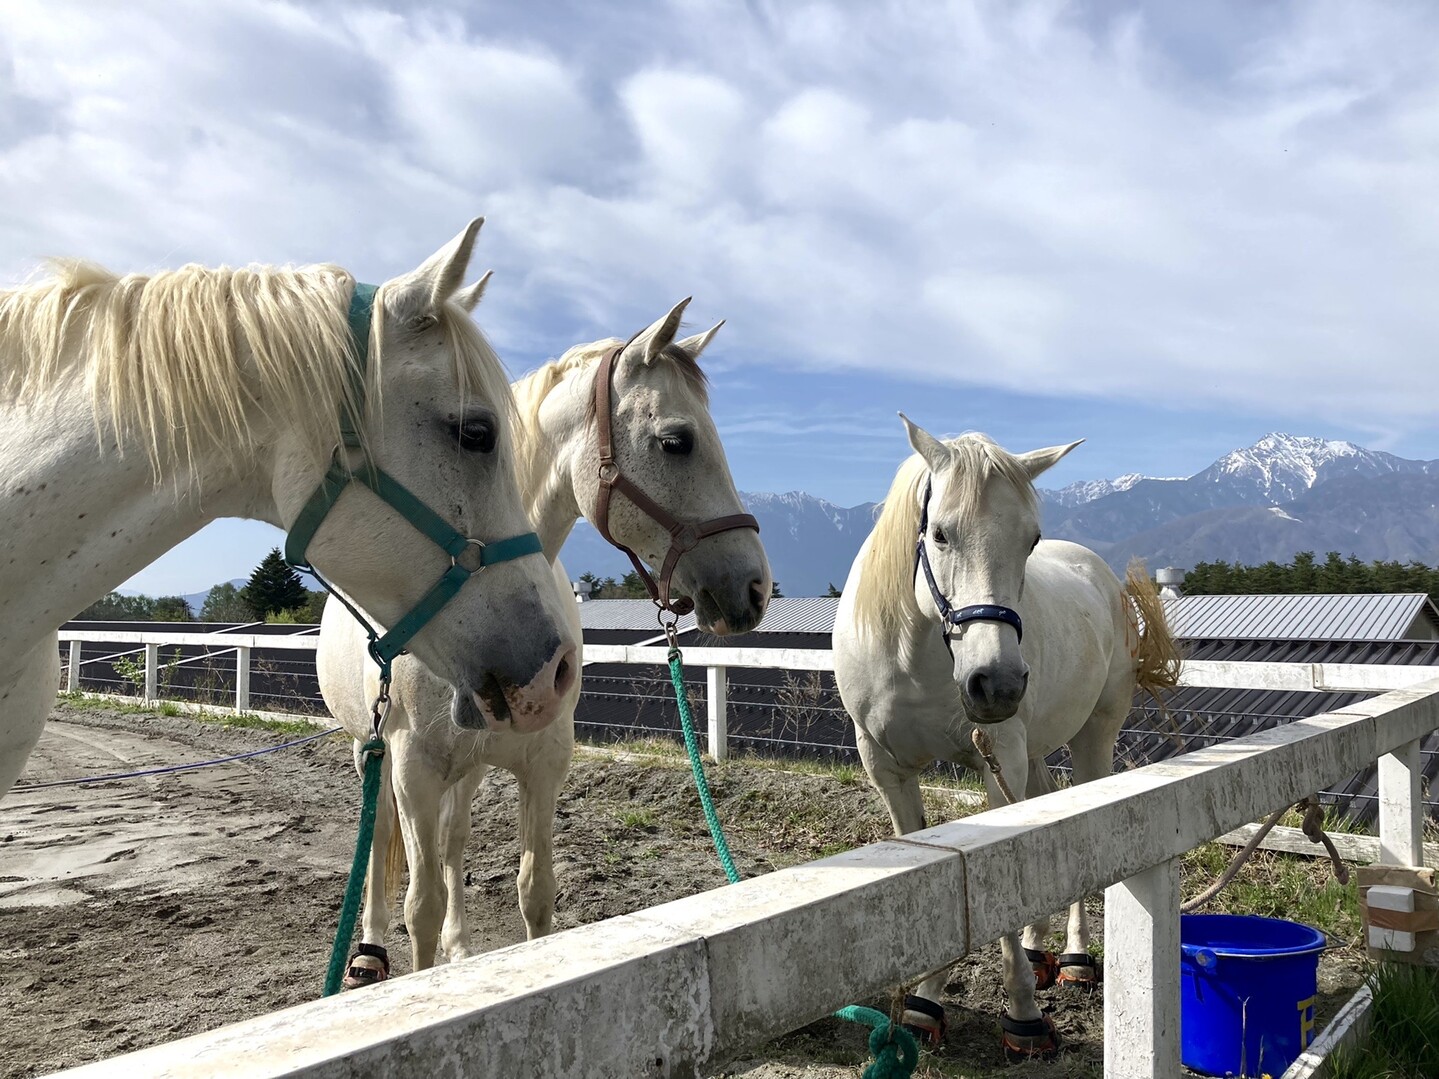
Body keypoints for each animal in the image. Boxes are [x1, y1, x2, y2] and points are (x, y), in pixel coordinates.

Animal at [316, 295, 771, 985]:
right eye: (676, 441)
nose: (754, 586)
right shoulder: (413, 768)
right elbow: (419, 902)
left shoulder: (543, 765)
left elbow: (534, 893)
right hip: (369, 750)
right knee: (380, 845)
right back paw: (368, 951)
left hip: (468, 767)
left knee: (453, 840)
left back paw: (459, 946)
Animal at [832, 416, 1179, 1059]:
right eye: (940, 534)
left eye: (1030, 540)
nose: (996, 683)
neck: (919, 658)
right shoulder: (888, 768)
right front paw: (925, 1001)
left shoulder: (1001, 758)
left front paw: (1022, 1014)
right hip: (1035, 750)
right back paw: (1039, 949)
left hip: (1092, 737)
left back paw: (1072, 957)